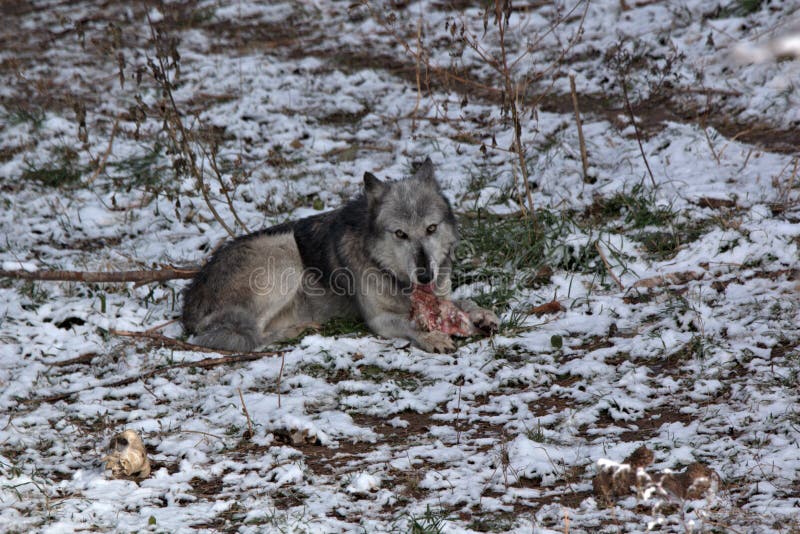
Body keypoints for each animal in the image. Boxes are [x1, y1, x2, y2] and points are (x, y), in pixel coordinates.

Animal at [181, 158, 499, 353]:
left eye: (431, 228)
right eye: (400, 234)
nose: (425, 274)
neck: (391, 273)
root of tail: (188, 301)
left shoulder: (439, 293)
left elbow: (461, 302)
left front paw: (480, 314)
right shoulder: (378, 319)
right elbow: (410, 324)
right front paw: (432, 336)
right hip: (285, 252)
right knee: (250, 336)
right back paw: (299, 330)